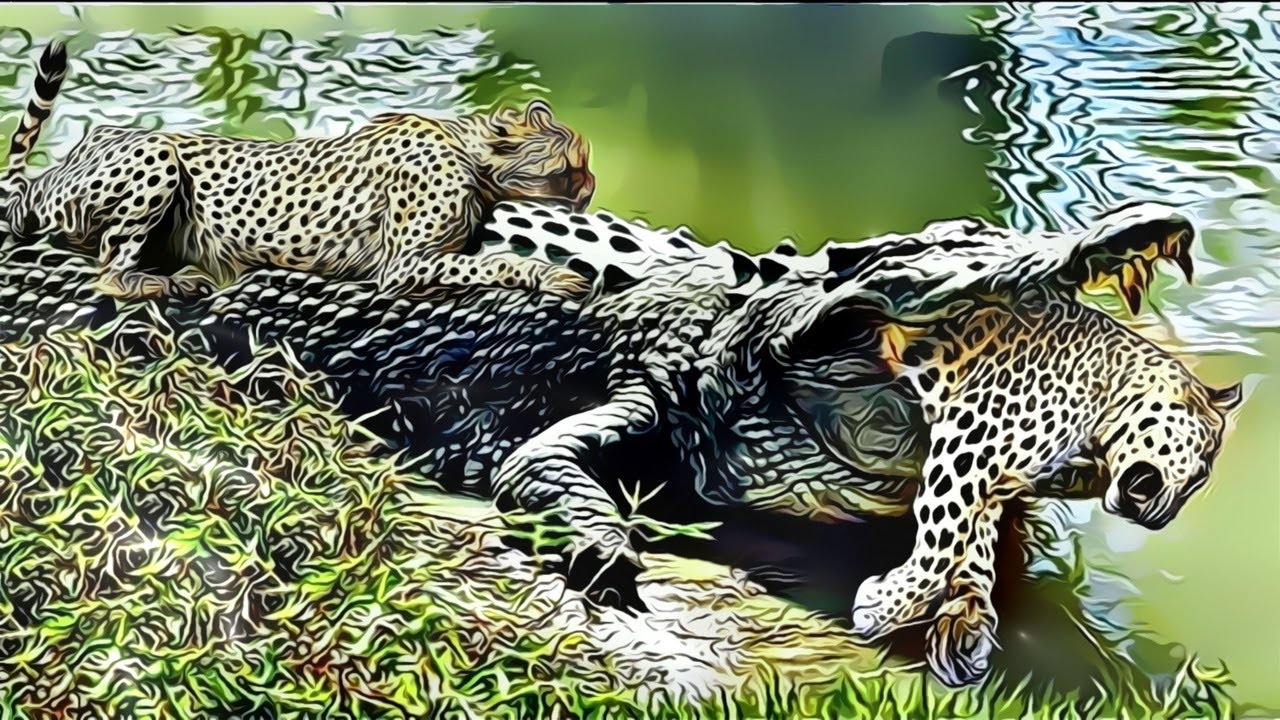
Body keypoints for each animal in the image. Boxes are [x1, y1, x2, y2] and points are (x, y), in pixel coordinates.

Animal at [1, 40, 595, 303]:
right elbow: (494, 262)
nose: (590, 193)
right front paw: (549, 274)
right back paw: (158, 281)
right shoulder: (405, 265)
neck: (473, 153)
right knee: (106, 271)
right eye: (573, 169)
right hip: (157, 158)